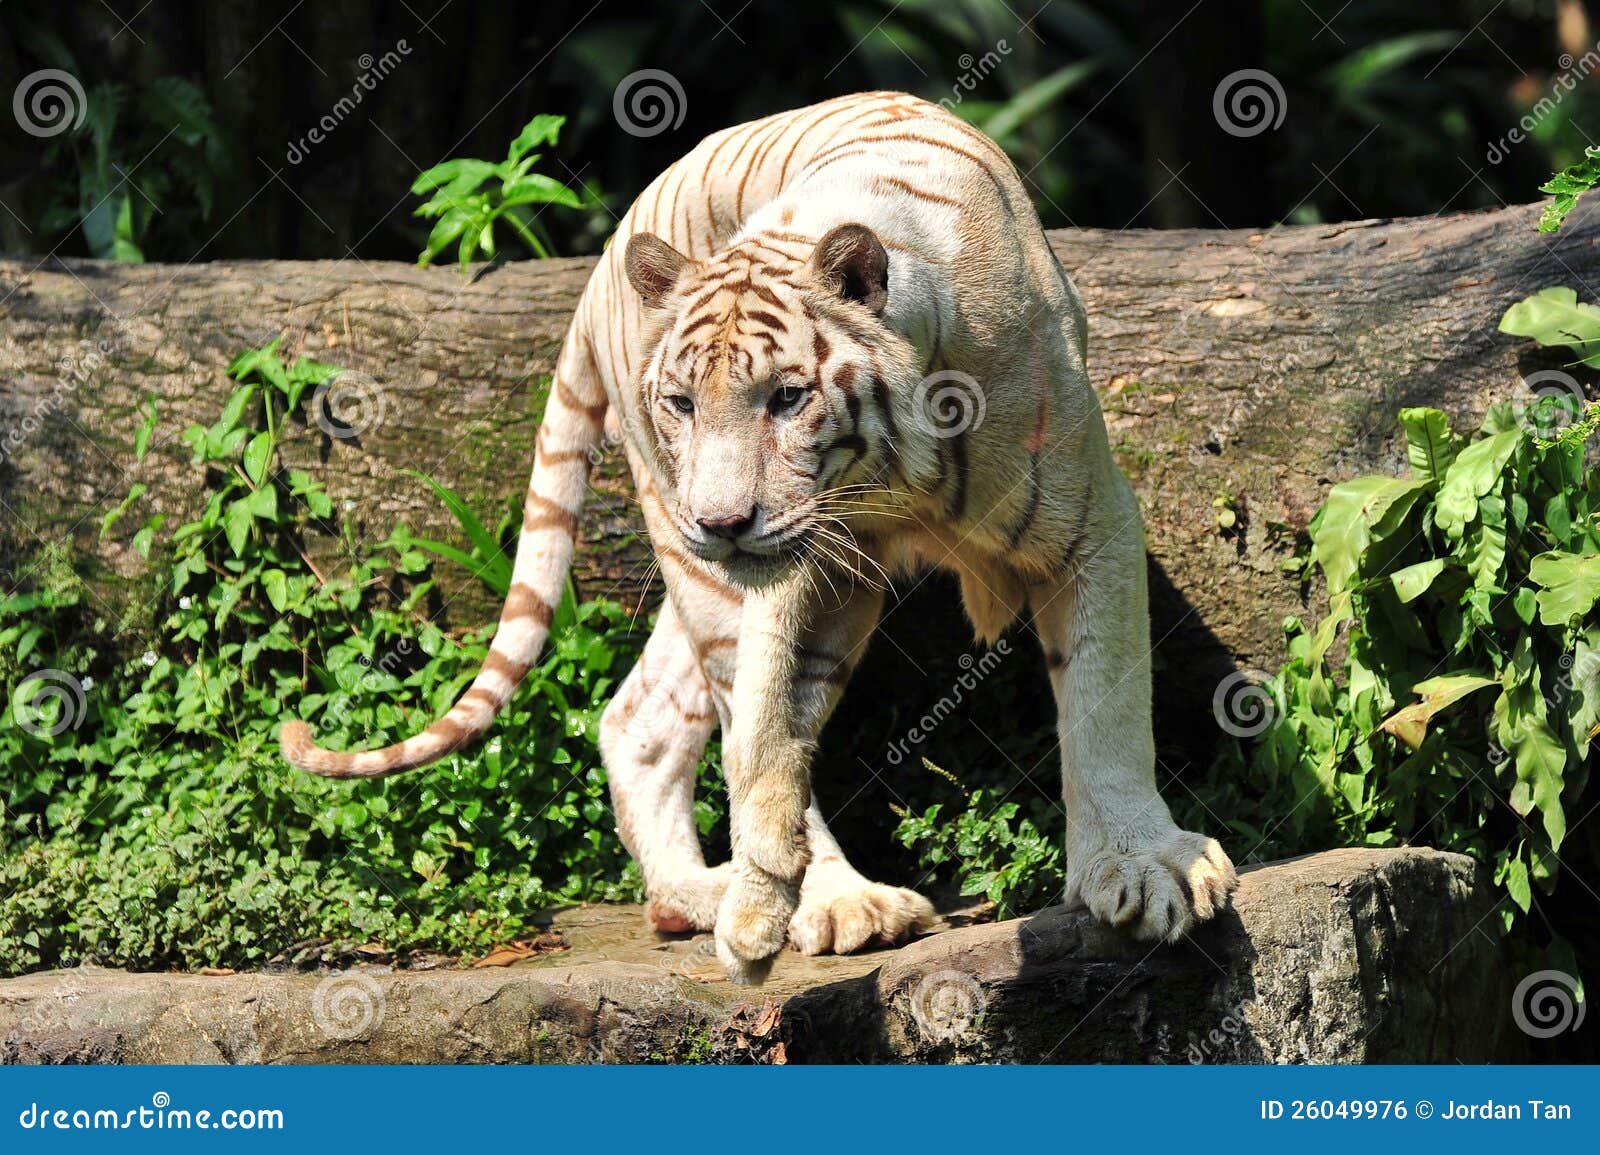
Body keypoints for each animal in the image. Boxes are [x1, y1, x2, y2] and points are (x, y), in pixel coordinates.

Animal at [280, 91, 1239, 984]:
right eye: (681, 402)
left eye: (787, 397)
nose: (721, 522)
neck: (892, 470)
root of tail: (600, 265)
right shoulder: (803, 571)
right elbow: (765, 738)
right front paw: (772, 898)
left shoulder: (1088, 519)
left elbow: (1107, 699)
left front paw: (1143, 868)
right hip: (699, 564)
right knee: (704, 711)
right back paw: (814, 900)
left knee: (639, 716)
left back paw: (693, 896)